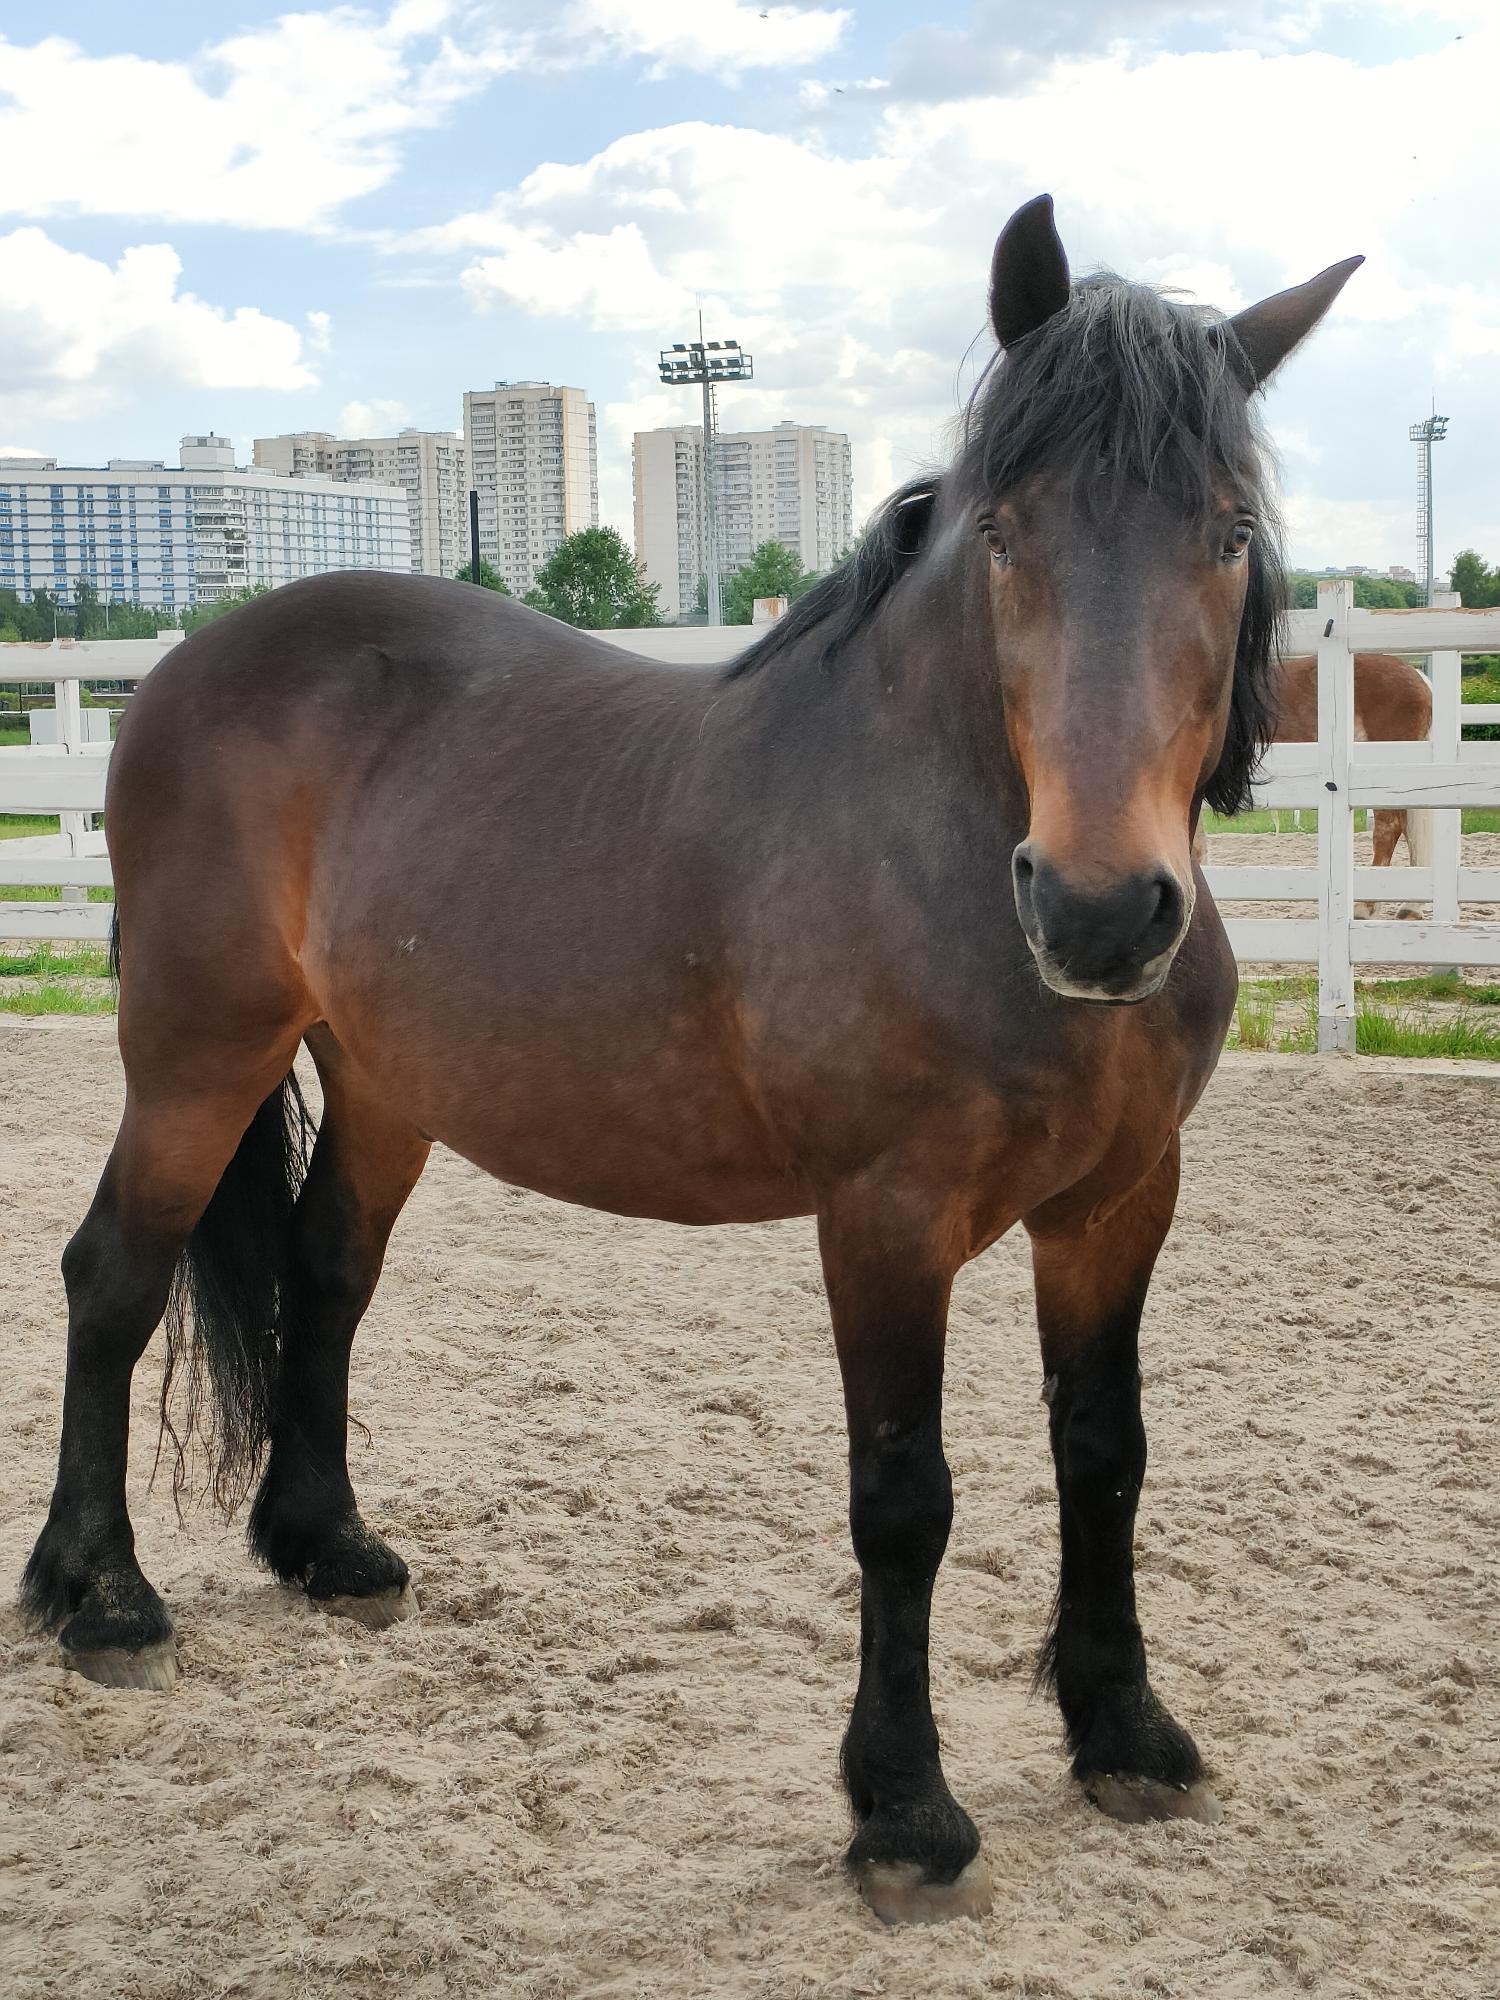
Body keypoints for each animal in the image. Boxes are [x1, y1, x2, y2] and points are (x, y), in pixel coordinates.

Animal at [21, 197, 1360, 1926]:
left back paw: (328, 1550)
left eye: (1228, 532)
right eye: (1006, 533)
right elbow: (903, 1497)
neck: (935, 841)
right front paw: (906, 1813)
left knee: (324, 1272)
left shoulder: (1122, 1205)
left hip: (385, 1080)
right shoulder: (885, 1218)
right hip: (199, 1055)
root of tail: (186, 666)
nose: (1099, 909)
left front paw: (1124, 1730)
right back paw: (99, 1598)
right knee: (115, 1274)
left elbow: (1106, 1454)